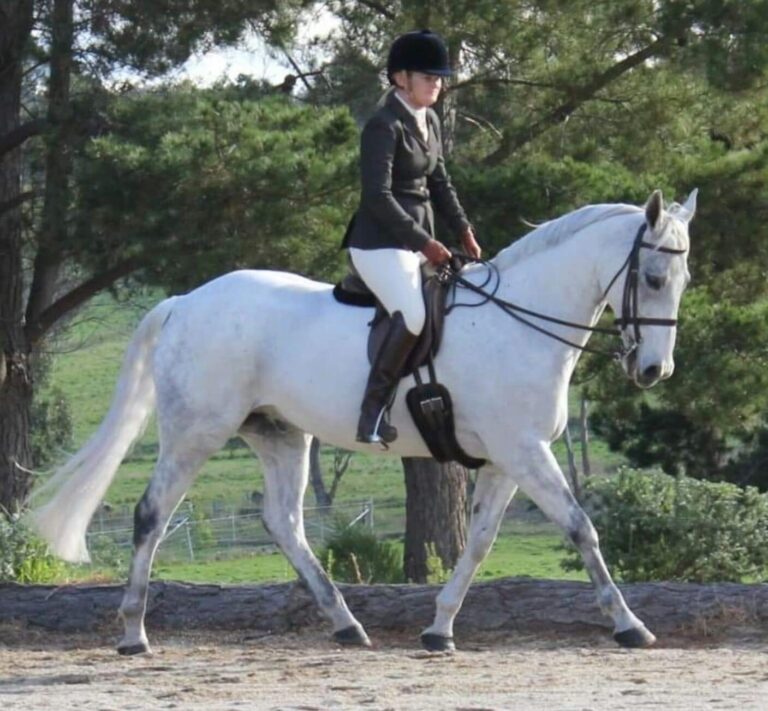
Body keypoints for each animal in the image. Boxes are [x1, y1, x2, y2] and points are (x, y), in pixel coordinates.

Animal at [29, 188, 696, 655]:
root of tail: (184, 302)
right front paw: (629, 624)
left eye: (683, 281)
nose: (654, 371)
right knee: (152, 514)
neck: (520, 321)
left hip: (279, 434)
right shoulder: (525, 451)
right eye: (653, 278)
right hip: (197, 432)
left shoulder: (508, 459)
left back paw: (346, 624)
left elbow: (479, 542)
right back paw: (133, 633)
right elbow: (582, 528)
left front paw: (439, 629)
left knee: (284, 523)